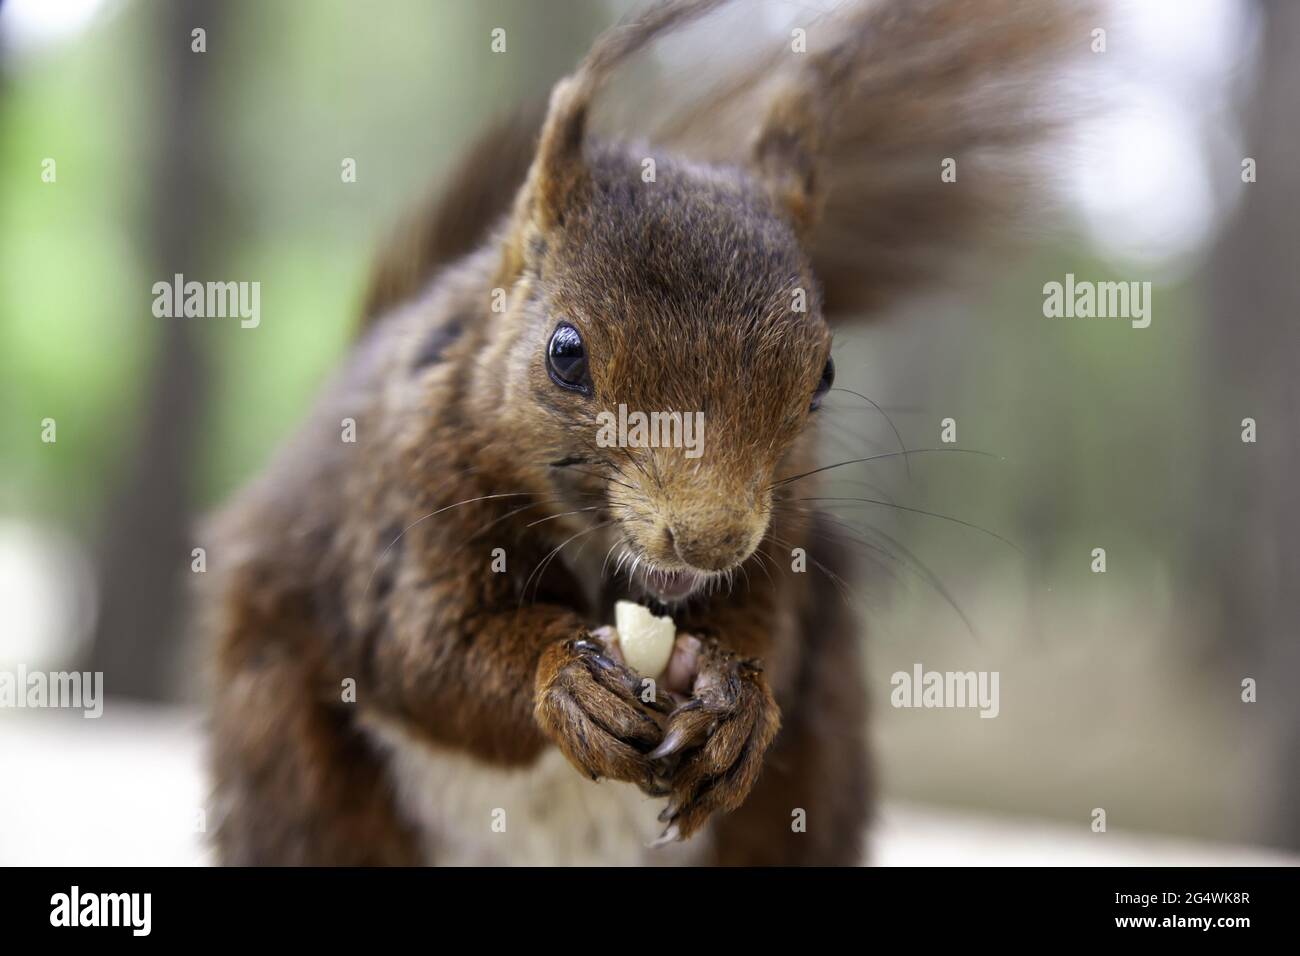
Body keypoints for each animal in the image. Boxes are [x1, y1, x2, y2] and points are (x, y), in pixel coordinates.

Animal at [204, 0, 1092, 865]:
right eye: (565, 354)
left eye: (825, 374)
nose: (711, 540)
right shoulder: (400, 506)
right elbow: (428, 647)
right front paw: (564, 677)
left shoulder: (784, 537)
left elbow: (769, 626)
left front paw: (735, 695)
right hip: (295, 764)